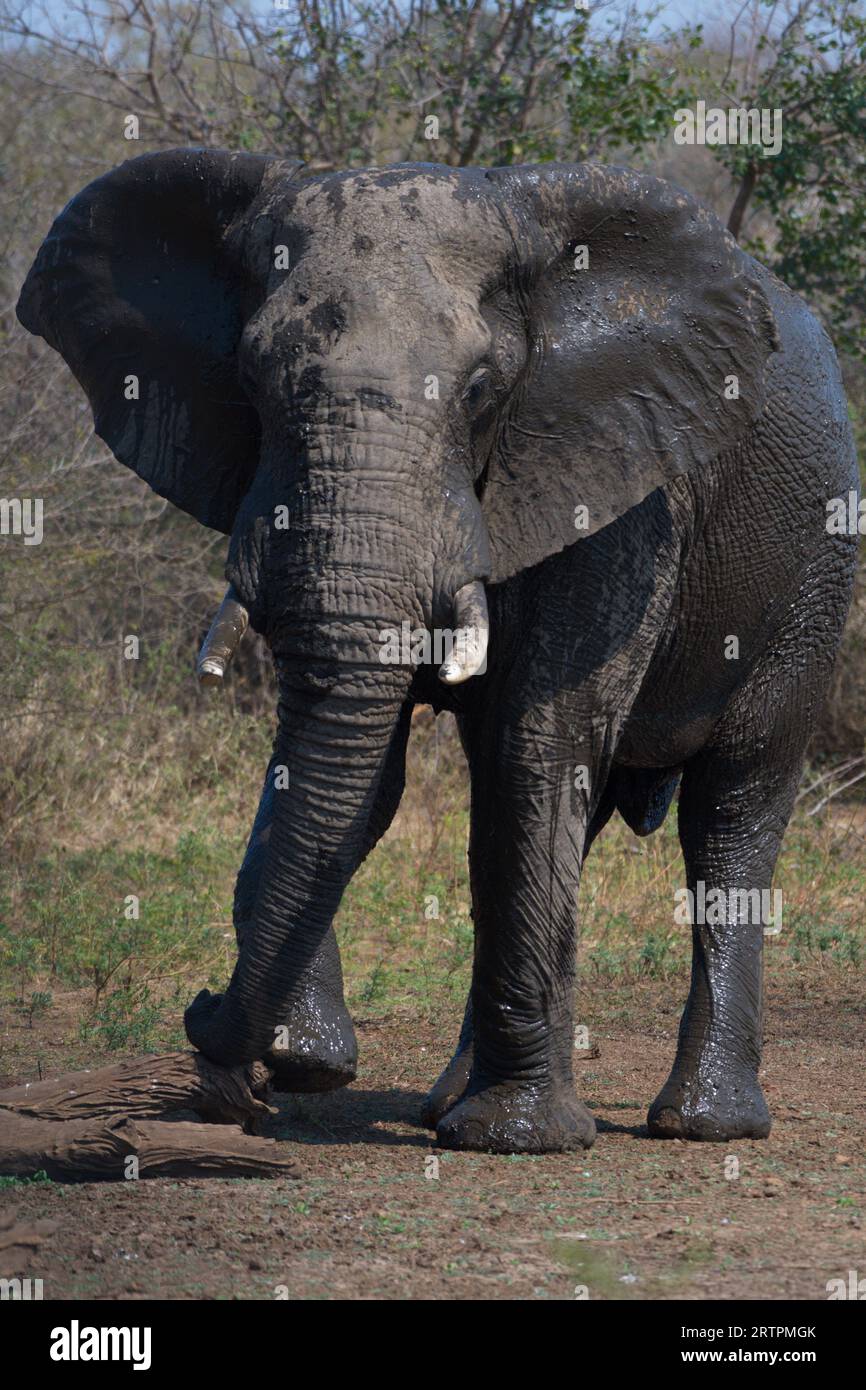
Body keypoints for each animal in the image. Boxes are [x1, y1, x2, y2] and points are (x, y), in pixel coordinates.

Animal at [17, 148, 858, 1154]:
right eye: (251, 380)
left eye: (483, 391)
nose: (200, 1003)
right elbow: (372, 772)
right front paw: (308, 1060)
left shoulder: (623, 491)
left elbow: (538, 743)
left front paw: (514, 1138)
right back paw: (445, 1101)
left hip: (816, 571)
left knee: (732, 807)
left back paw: (702, 1125)